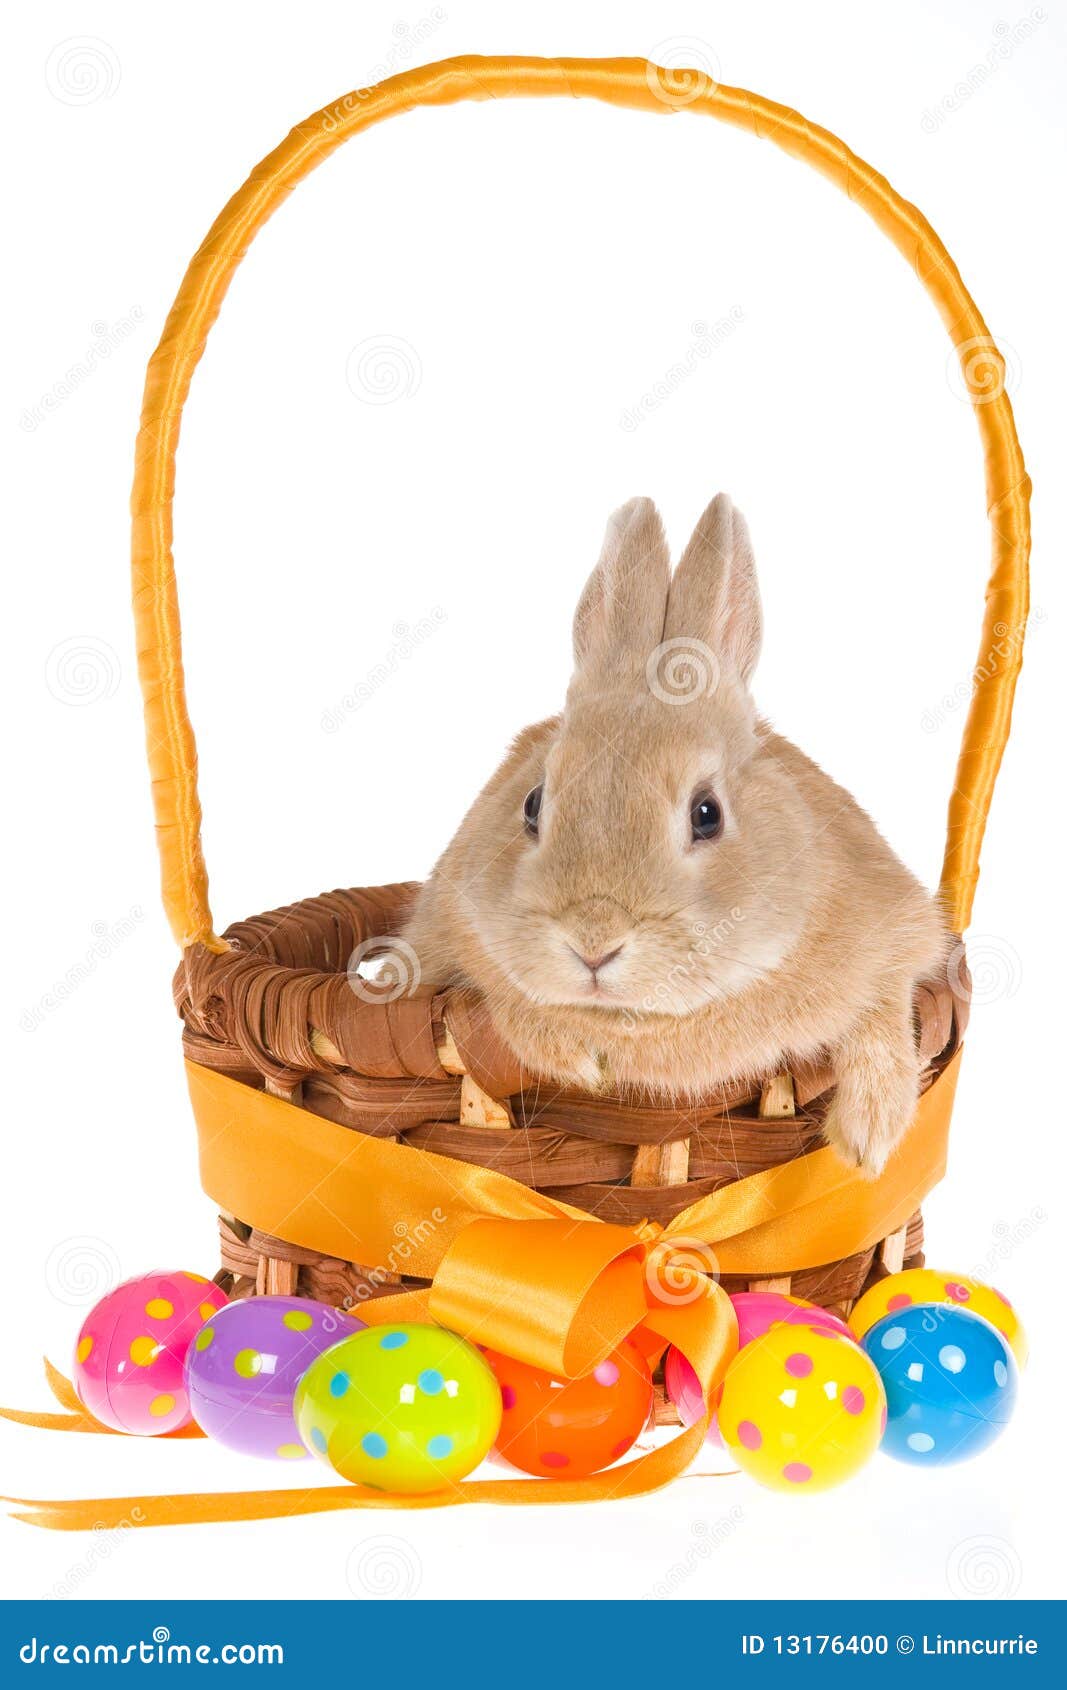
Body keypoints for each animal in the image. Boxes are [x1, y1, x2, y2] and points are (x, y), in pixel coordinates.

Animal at [401, 494, 948, 1176]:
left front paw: (868, 1140)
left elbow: (883, 1009)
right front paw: (578, 1062)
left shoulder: (890, 931)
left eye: (707, 813)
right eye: (532, 804)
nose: (593, 942)